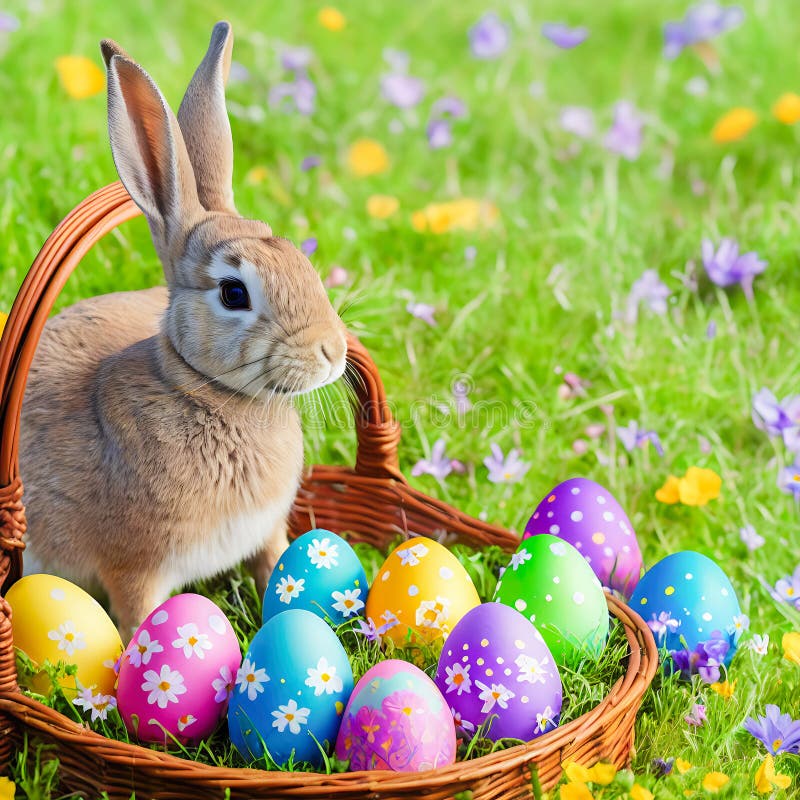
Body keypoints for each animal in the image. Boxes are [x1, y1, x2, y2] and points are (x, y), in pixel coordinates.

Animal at [18, 21, 347, 635]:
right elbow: (137, 620)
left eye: (300, 258)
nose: (333, 352)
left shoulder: (268, 533)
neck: (212, 394)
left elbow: (276, 571)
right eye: (234, 293)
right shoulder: (135, 568)